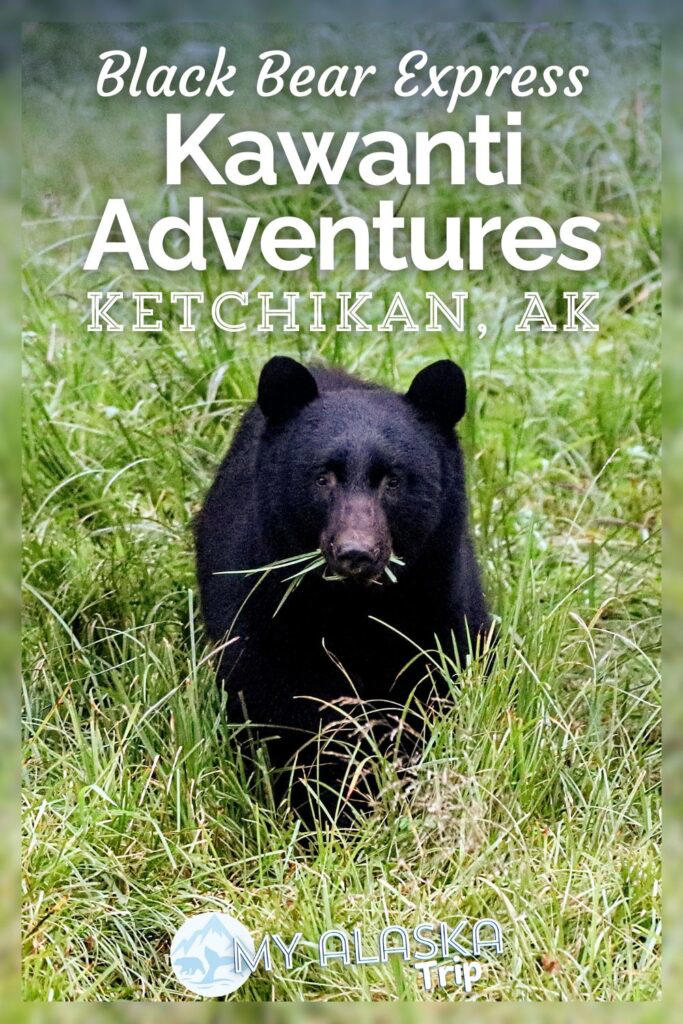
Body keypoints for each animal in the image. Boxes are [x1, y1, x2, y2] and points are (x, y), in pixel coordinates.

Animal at [194, 356, 492, 815]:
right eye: (323, 477)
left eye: (393, 479)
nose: (356, 553)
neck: (352, 609)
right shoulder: (264, 614)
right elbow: (284, 707)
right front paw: (318, 804)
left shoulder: (438, 604)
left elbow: (427, 695)